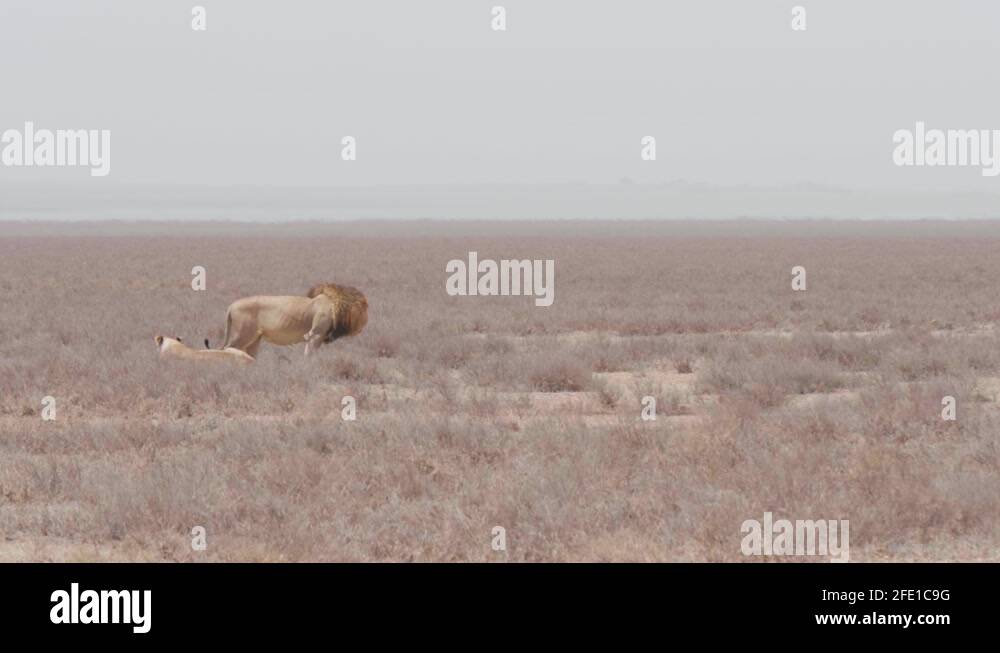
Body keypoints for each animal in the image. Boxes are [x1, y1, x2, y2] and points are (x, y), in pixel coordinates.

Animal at [219, 283, 368, 357]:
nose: (365, 321)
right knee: (227, 349)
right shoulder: (315, 334)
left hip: (254, 340)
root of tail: (231, 305)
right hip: (242, 335)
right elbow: (309, 355)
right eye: (363, 308)